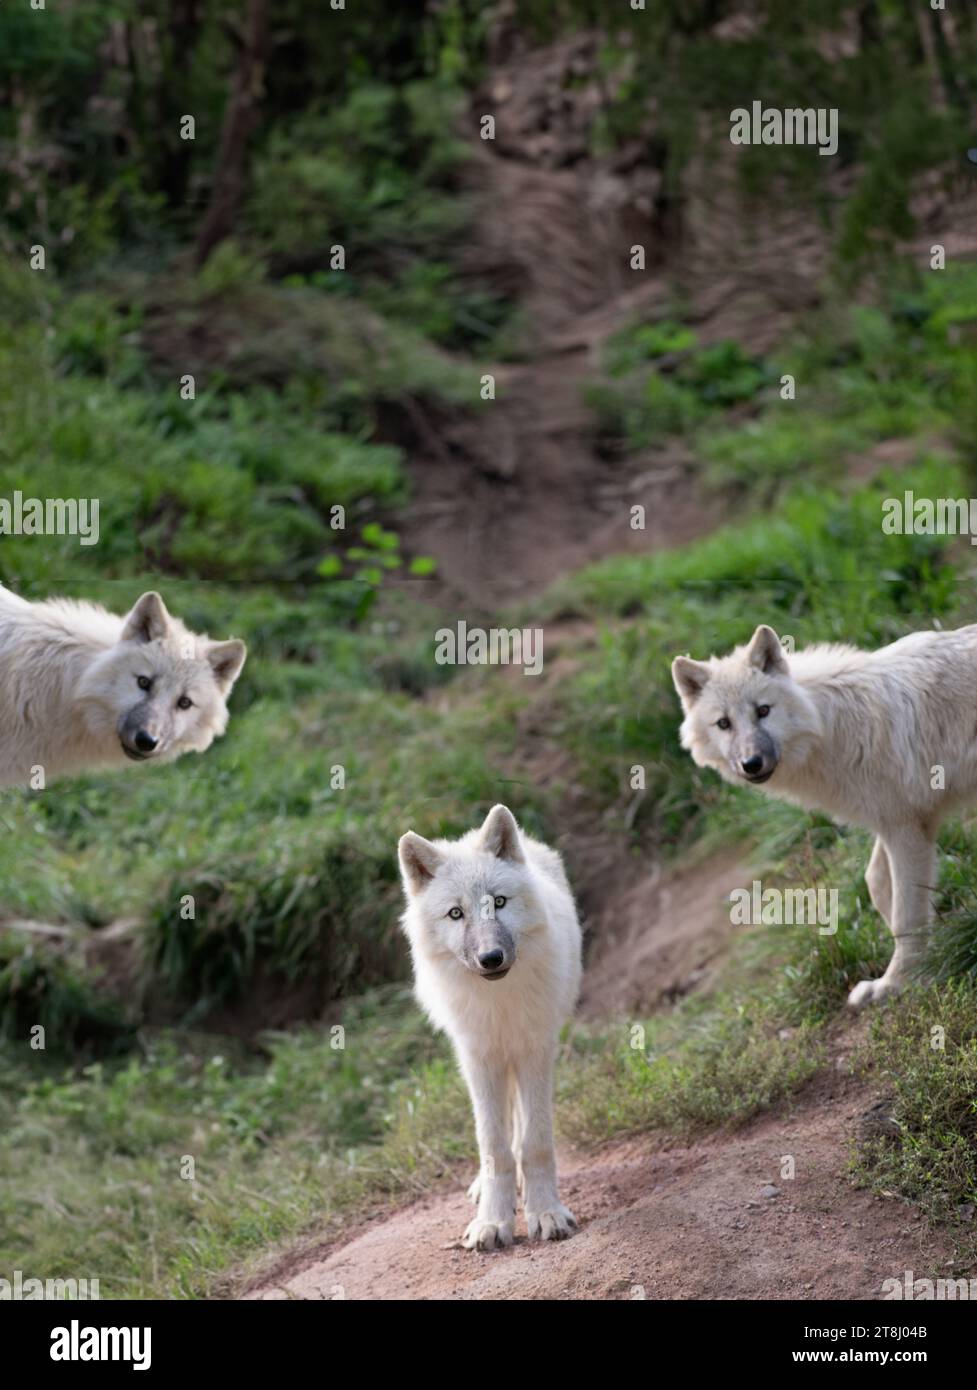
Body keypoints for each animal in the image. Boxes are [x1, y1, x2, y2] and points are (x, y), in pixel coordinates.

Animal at [398, 804, 582, 1250]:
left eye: (498, 902)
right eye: (456, 913)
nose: (491, 958)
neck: (499, 1003)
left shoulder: (535, 1051)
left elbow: (535, 1142)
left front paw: (545, 1213)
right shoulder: (478, 1059)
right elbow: (493, 1146)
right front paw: (493, 1220)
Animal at [672, 622, 977, 1007]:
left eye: (763, 711)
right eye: (723, 723)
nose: (751, 763)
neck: (830, 726)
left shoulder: (905, 828)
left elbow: (904, 913)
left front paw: (895, 984)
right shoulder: (898, 822)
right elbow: (878, 885)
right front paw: (930, 948)